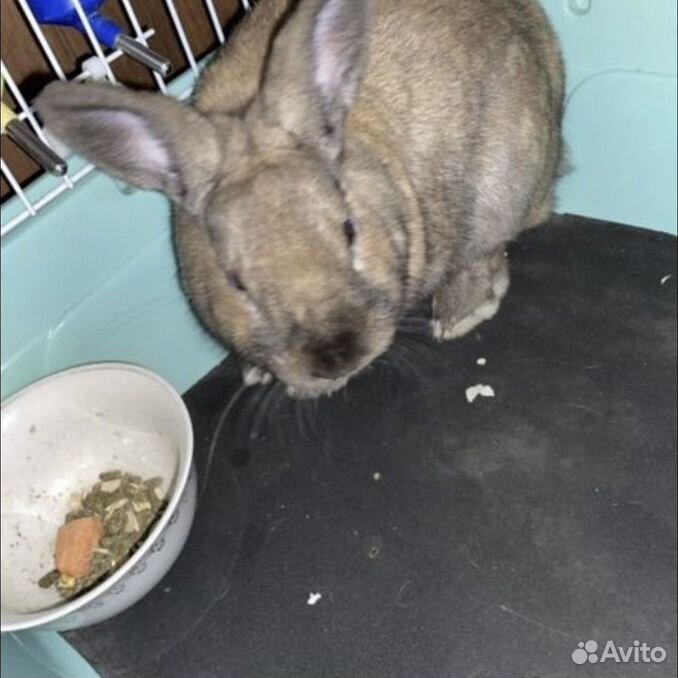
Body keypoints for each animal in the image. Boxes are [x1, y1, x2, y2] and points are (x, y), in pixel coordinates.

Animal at [35, 0, 565, 398]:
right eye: (235, 281)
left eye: (350, 231)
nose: (336, 356)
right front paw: (259, 372)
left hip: (502, 183)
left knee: (484, 251)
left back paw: (458, 316)